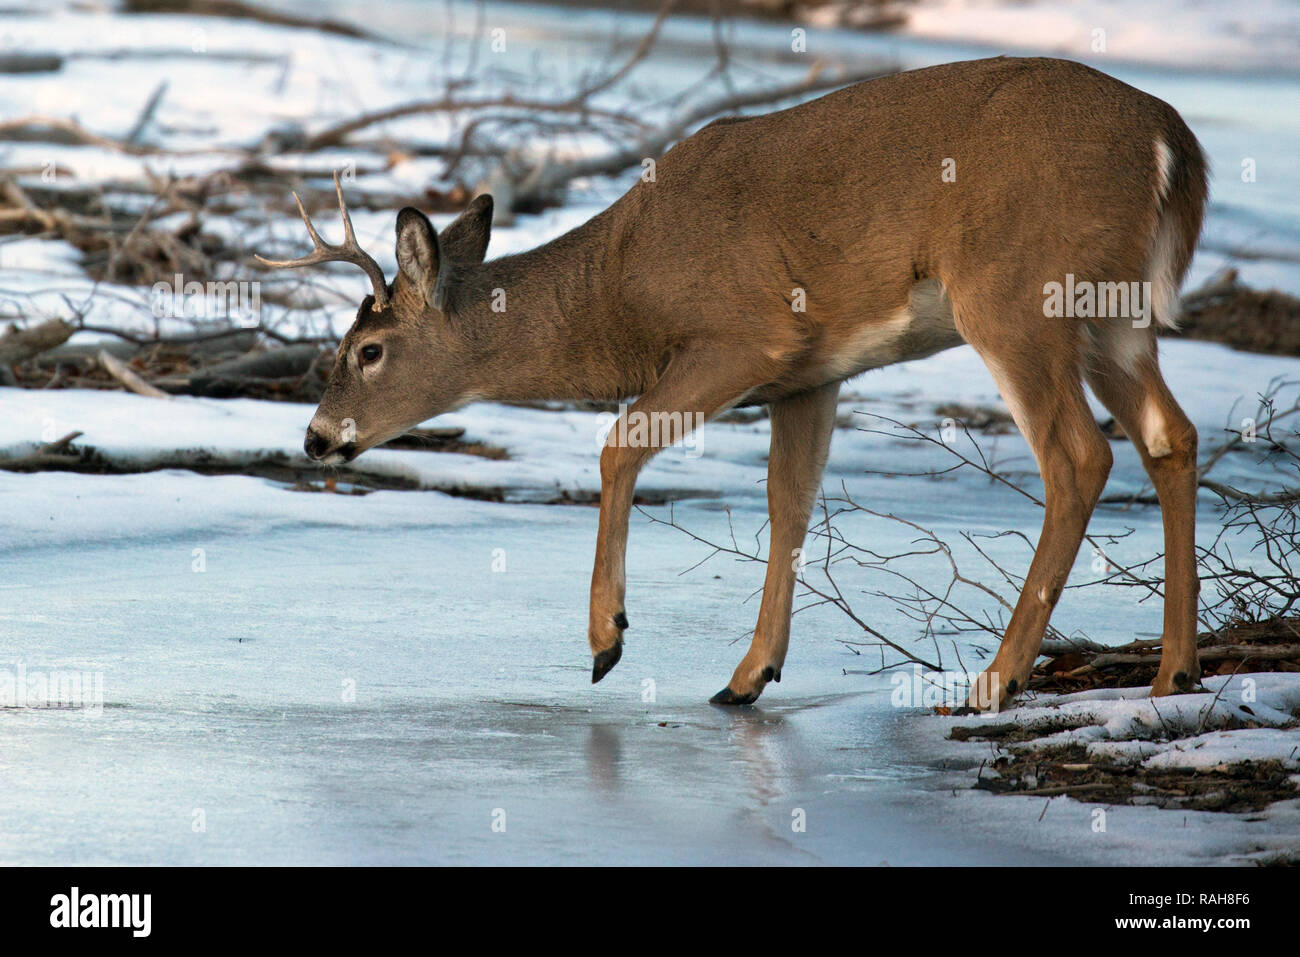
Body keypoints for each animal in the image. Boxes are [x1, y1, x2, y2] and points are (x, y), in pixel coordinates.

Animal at [257, 56, 1207, 712]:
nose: (315, 436)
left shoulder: (751, 332)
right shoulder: (812, 371)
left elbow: (619, 442)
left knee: (1078, 456)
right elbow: (789, 502)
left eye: (368, 349)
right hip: (1115, 314)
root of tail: (1175, 146)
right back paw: (1172, 674)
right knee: (1172, 434)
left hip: (1015, 292)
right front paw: (748, 675)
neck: (624, 289)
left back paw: (995, 681)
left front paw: (607, 638)